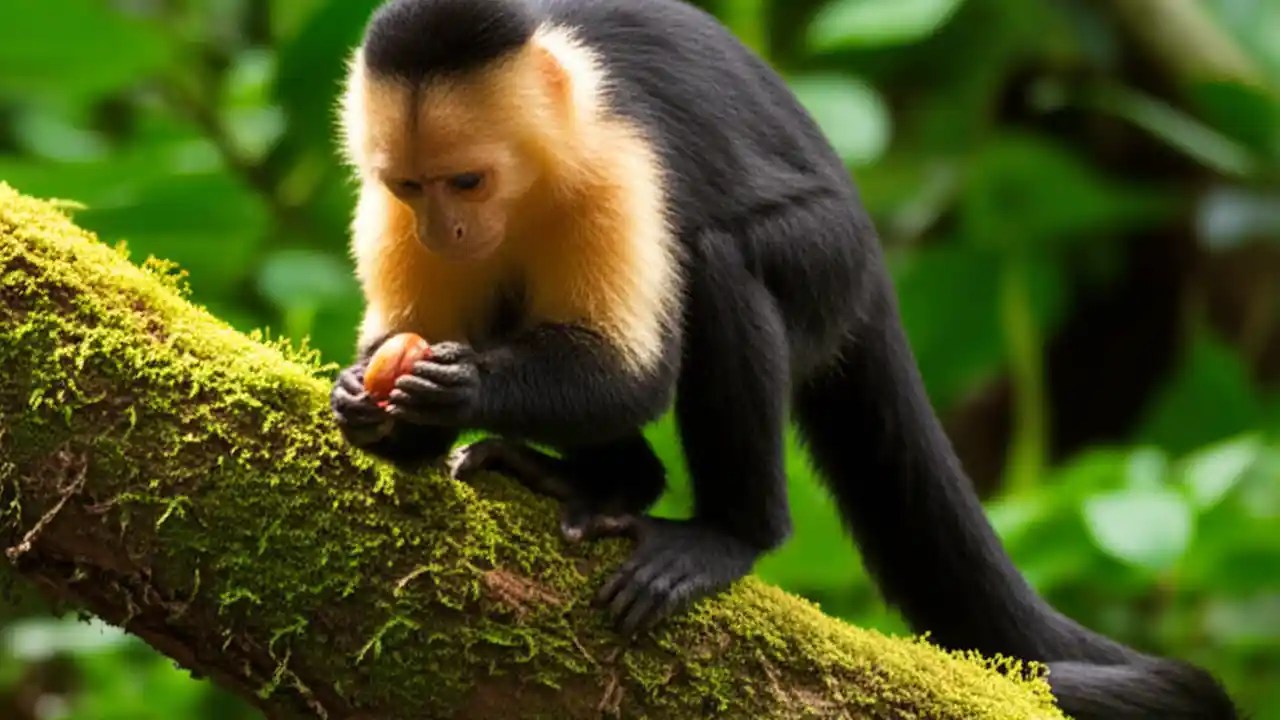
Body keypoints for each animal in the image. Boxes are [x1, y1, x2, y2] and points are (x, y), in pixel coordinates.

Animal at [327, 0, 1239, 717]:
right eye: (413, 188)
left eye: (469, 182)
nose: (444, 230)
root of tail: (874, 263)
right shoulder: (389, 208)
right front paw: (369, 404)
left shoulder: (615, 160)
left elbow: (632, 375)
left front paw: (462, 385)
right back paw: (604, 481)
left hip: (831, 265)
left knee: (721, 259)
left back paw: (730, 533)